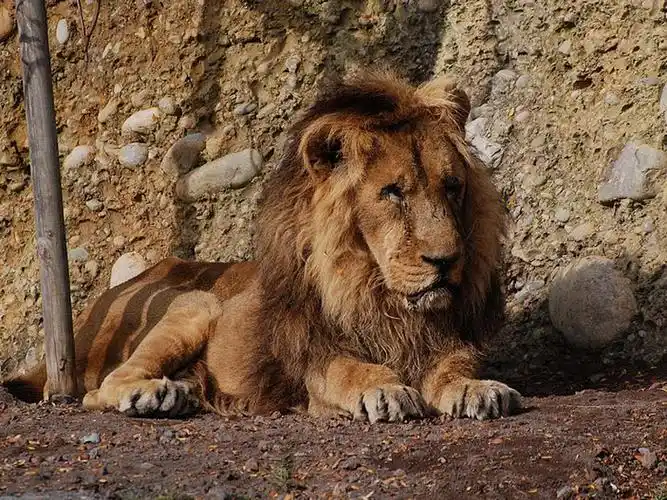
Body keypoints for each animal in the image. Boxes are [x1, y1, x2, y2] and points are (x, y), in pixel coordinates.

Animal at [3, 70, 521, 422]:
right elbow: (350, 369)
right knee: (100, 389)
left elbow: (453, 369)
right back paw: (153, 395)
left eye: (452, 186)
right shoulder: (312, 355)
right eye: (393, 192)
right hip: (196, 302)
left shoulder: (445, 340)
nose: (446, 261)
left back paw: (182, 394)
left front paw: (478, 389)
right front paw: (387, 390)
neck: (378, 293)